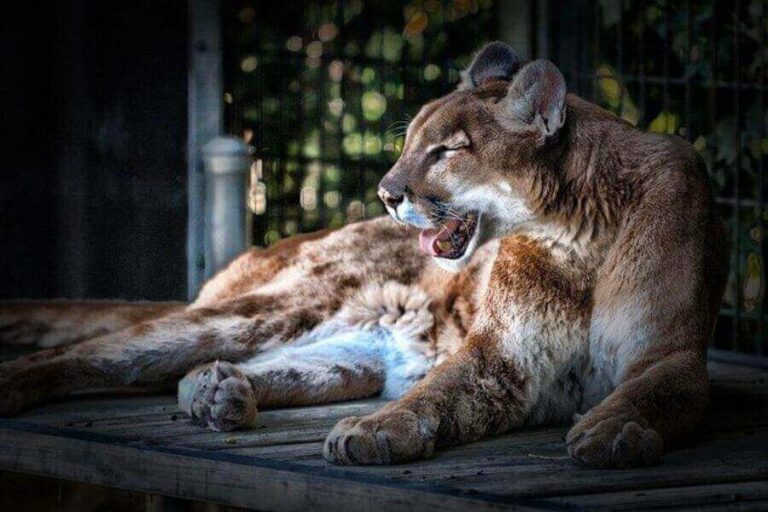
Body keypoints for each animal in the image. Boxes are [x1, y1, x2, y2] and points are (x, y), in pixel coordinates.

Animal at [0, 42, 728, 468]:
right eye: (408, 143)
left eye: (445, 151)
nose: (385, 192)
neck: (574, 237)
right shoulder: (503, 355)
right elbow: (435, 396)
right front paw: (375, 433)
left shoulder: (671, 354)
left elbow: (654, 392)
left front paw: (610, 430)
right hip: (272, 308)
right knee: (99, 353)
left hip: (346, 357)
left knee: (232, 370)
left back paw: (219, 394)